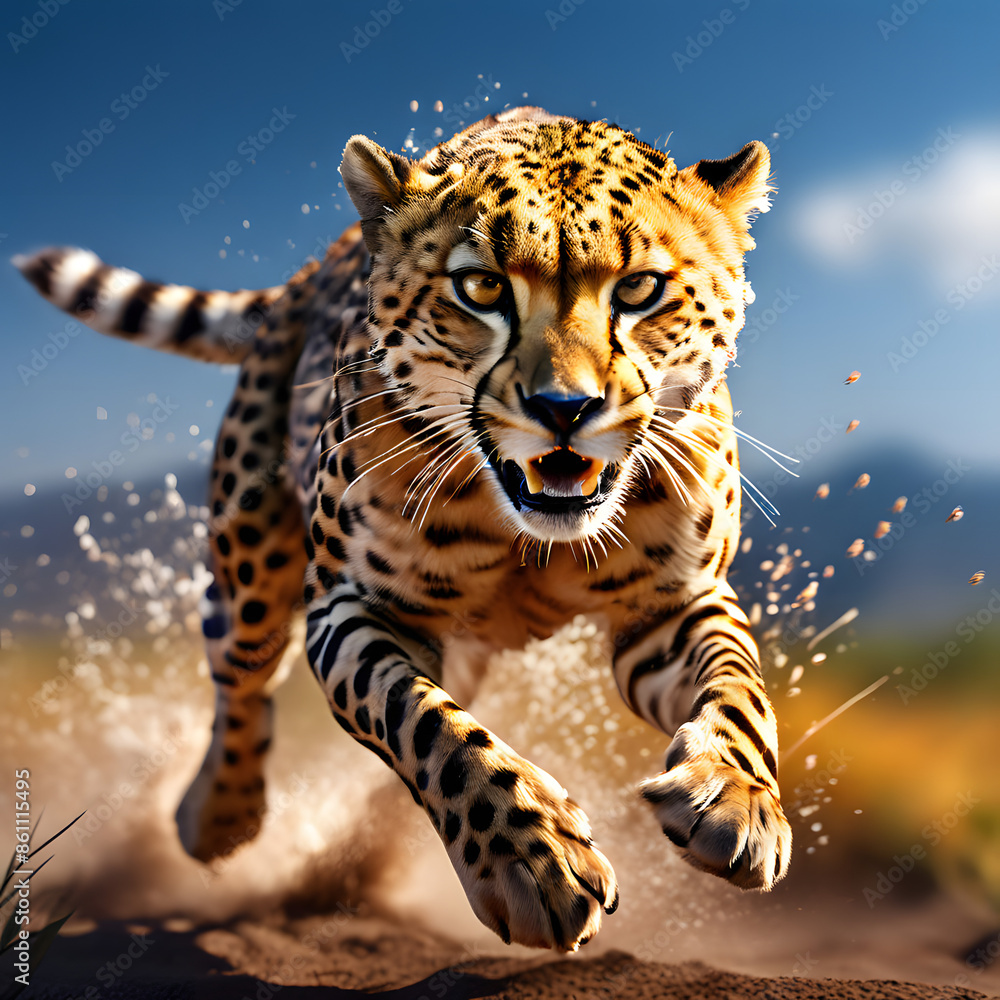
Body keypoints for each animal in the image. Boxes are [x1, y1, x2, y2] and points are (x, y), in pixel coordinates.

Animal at [16, 105, 791, 952]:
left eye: (641, 289)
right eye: (482, 287)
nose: (565, 409)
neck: (523, 532)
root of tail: (320, 261)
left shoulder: (670, 607)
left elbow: (739, 688)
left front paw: (737, 798)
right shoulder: (355, 605)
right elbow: (427, 725)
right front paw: (532, 857)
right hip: (248, 561)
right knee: (243, 678)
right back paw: (217, 818)